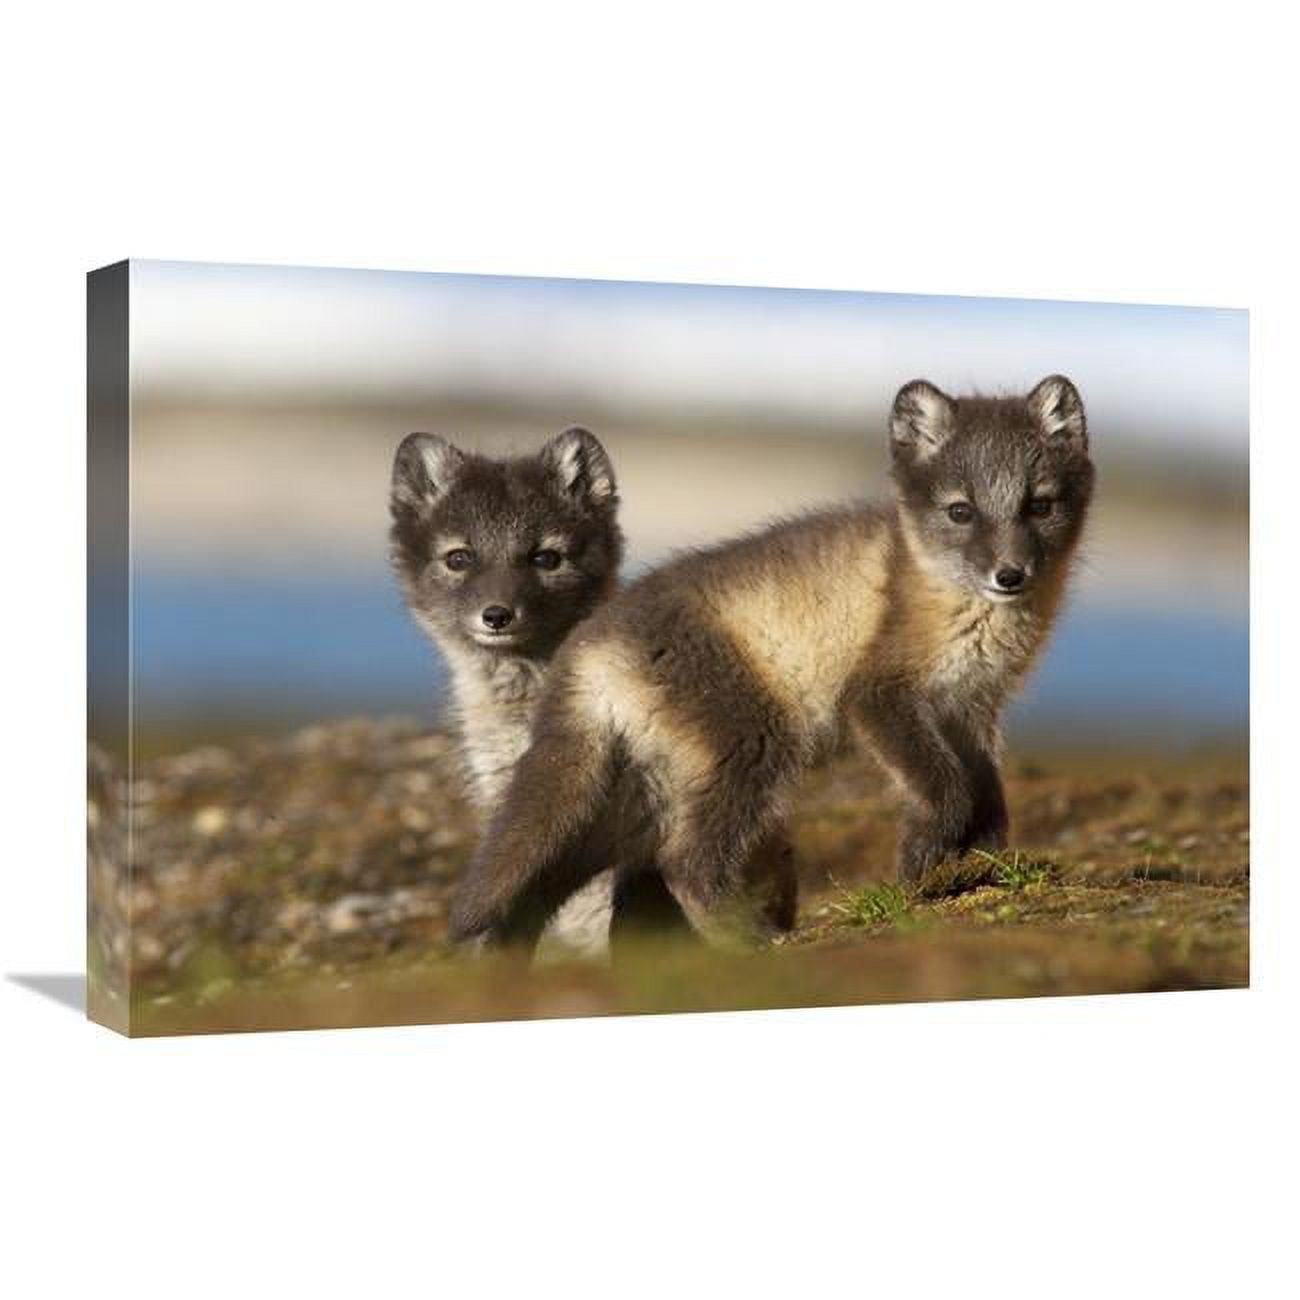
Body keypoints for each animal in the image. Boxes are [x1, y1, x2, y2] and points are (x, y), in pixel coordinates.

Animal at [447, 375, 1095, 952]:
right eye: (961, 512)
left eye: (1040, 505)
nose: (1009, 575)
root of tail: (586, 644)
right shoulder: (880, 696)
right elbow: (947, 789)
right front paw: (922, 867)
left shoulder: (973, 707)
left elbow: (987, 796)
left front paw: (978, 868)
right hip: (750, 743)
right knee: (684, 863)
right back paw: (747, 939)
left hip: (631, 800)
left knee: (552, 881)